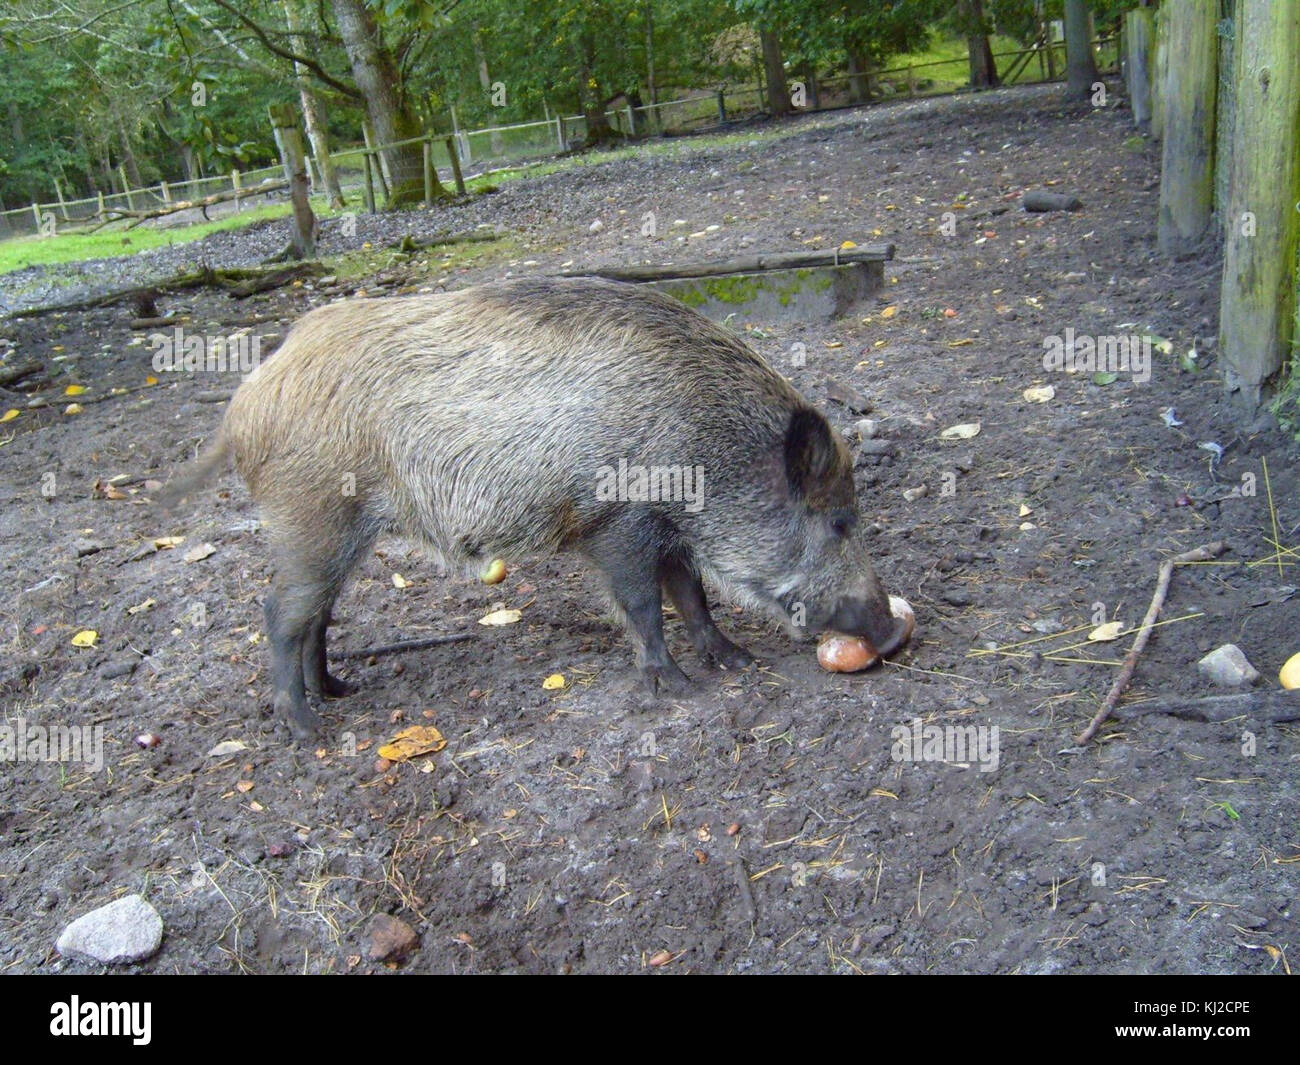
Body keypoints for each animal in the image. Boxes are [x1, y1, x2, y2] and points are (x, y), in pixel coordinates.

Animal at [166, 277, 909, 740]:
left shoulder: (668, 529)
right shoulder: (617, 522)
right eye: (838, 521)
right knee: (280, 613)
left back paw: (338, 691)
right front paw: (679, 688)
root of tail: (243, 405)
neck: (703, 442)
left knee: (316, 615)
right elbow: (644, 605)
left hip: (336, 532)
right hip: (311, 516)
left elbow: (693, 596)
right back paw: (306, 727)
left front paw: (737, 662)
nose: (892, 633)